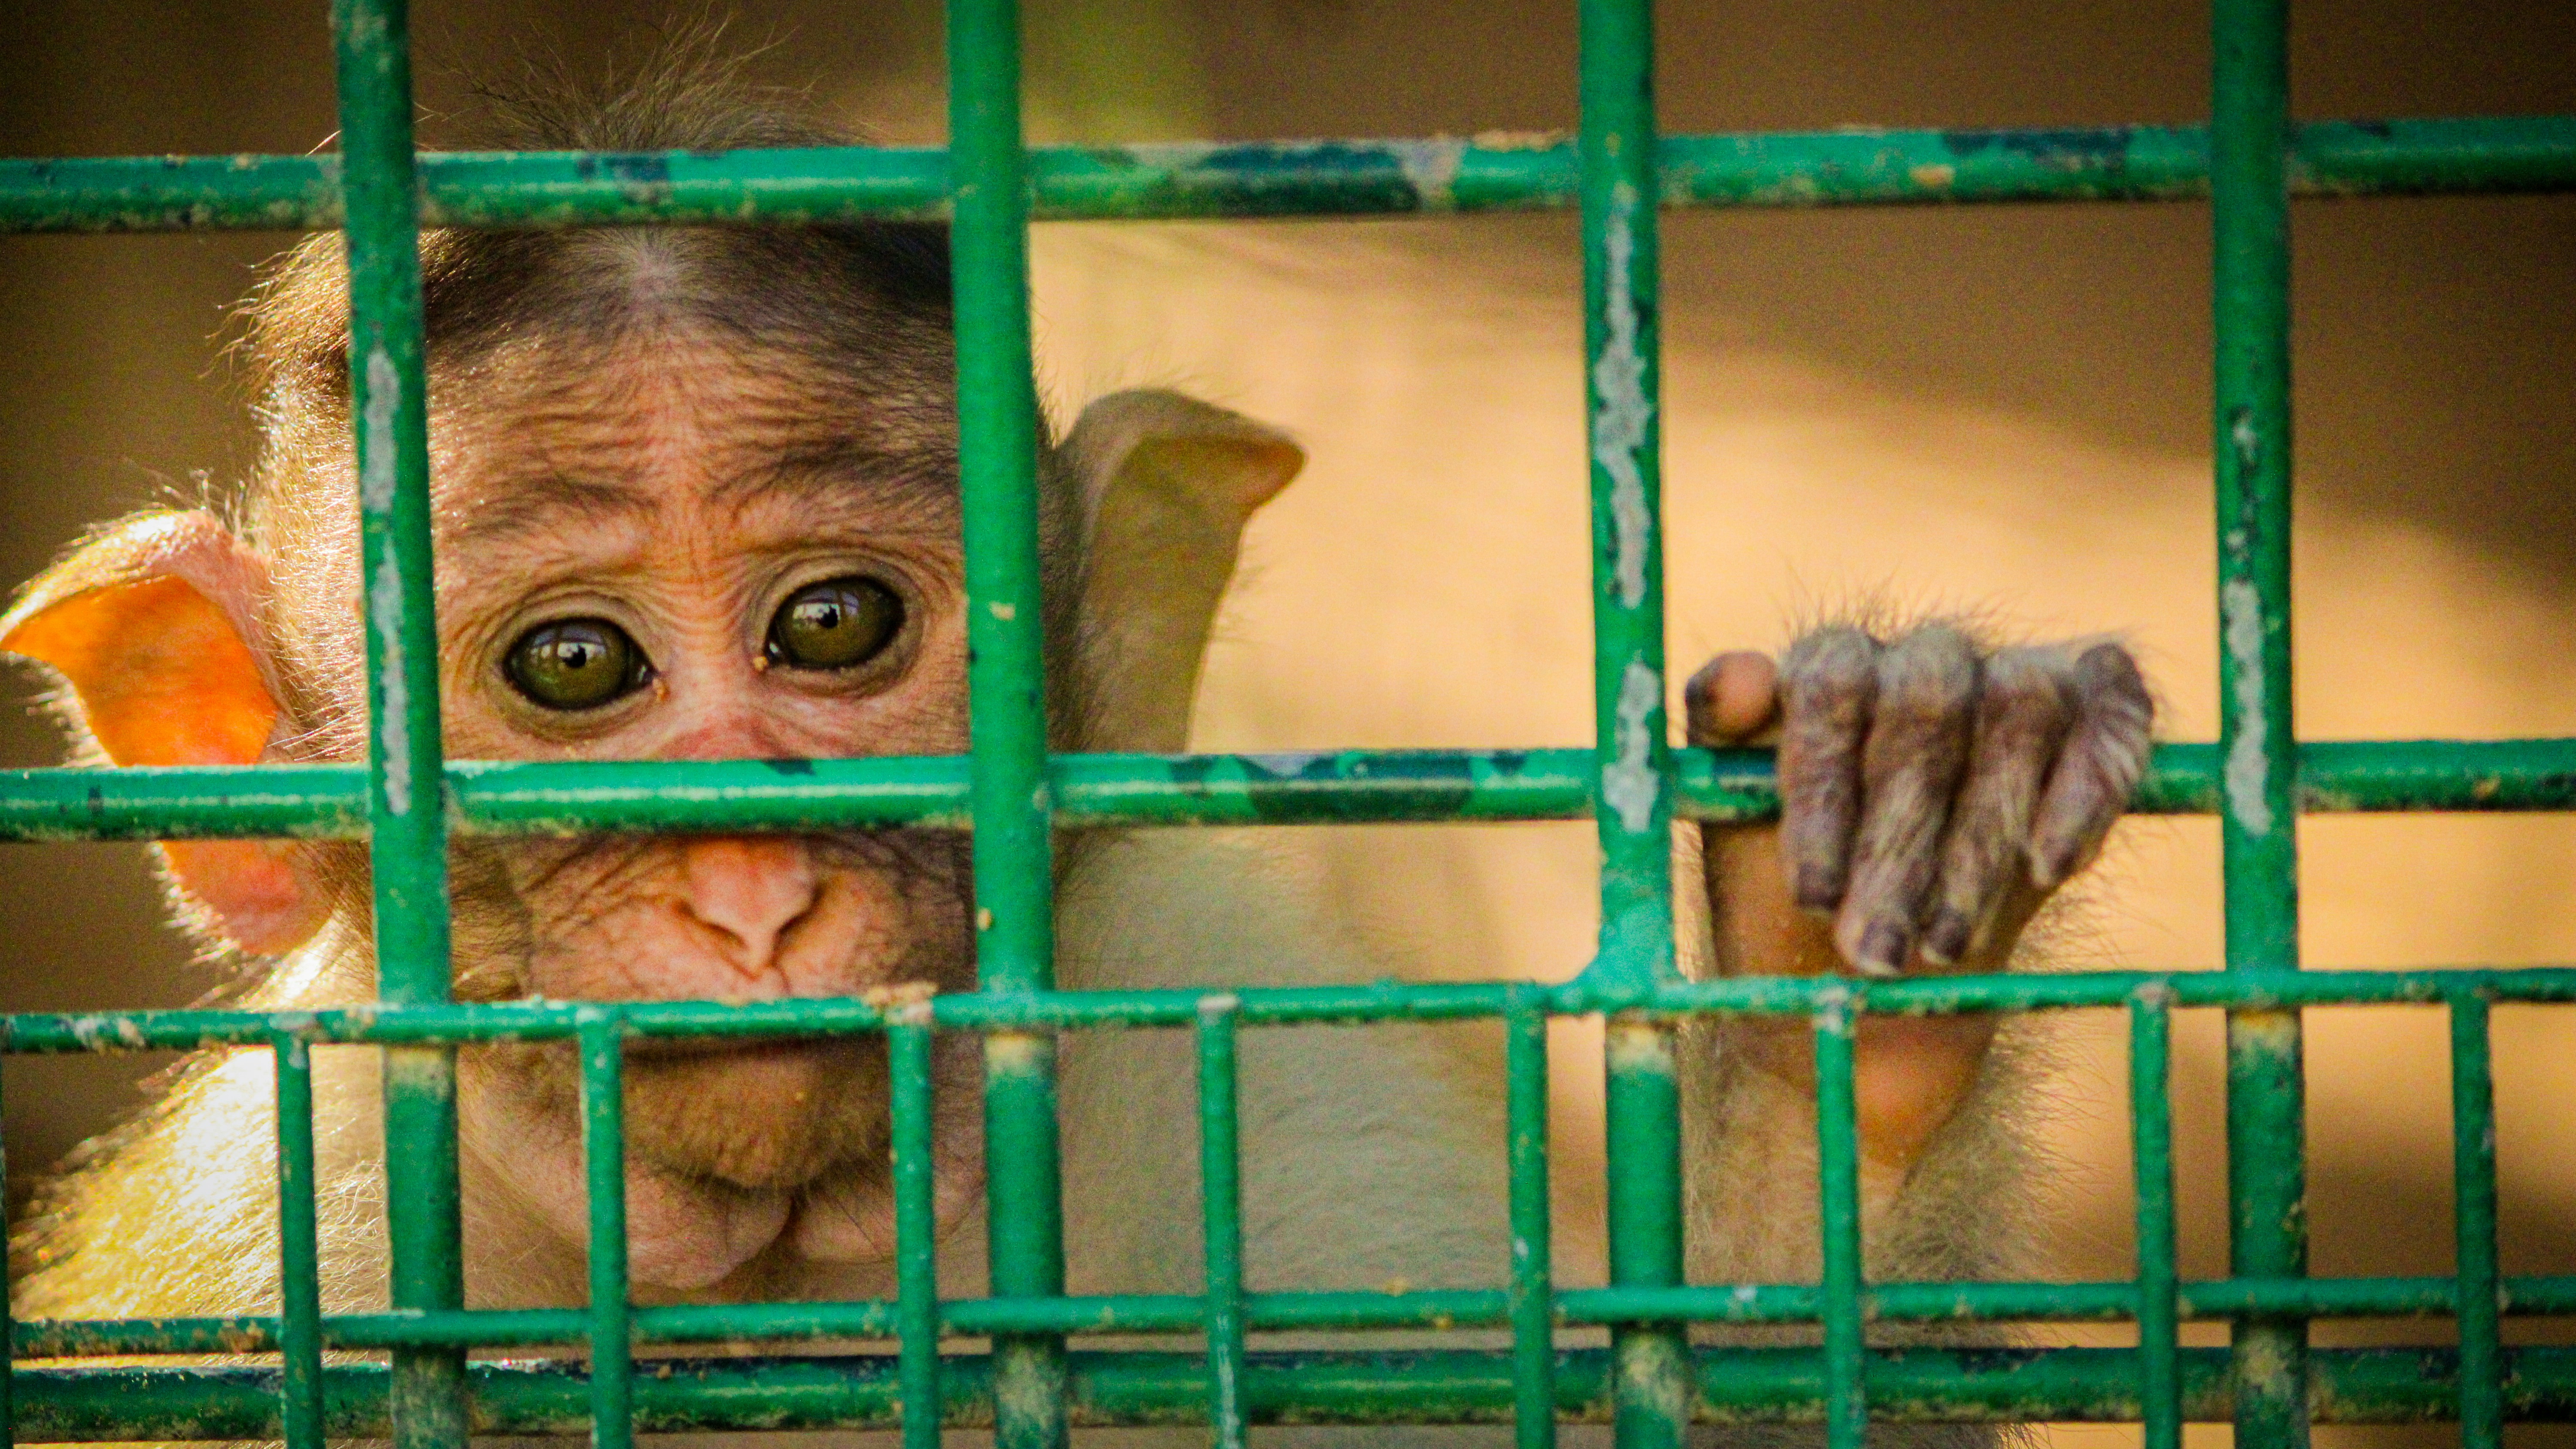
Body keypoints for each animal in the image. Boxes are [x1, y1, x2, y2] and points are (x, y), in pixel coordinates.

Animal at [0, 47, 2151, 1447]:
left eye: (833, 626)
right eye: (576, 665)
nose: (748, 887)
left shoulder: (1275, 1108)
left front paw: (1827, 998)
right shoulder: (284, 1241)